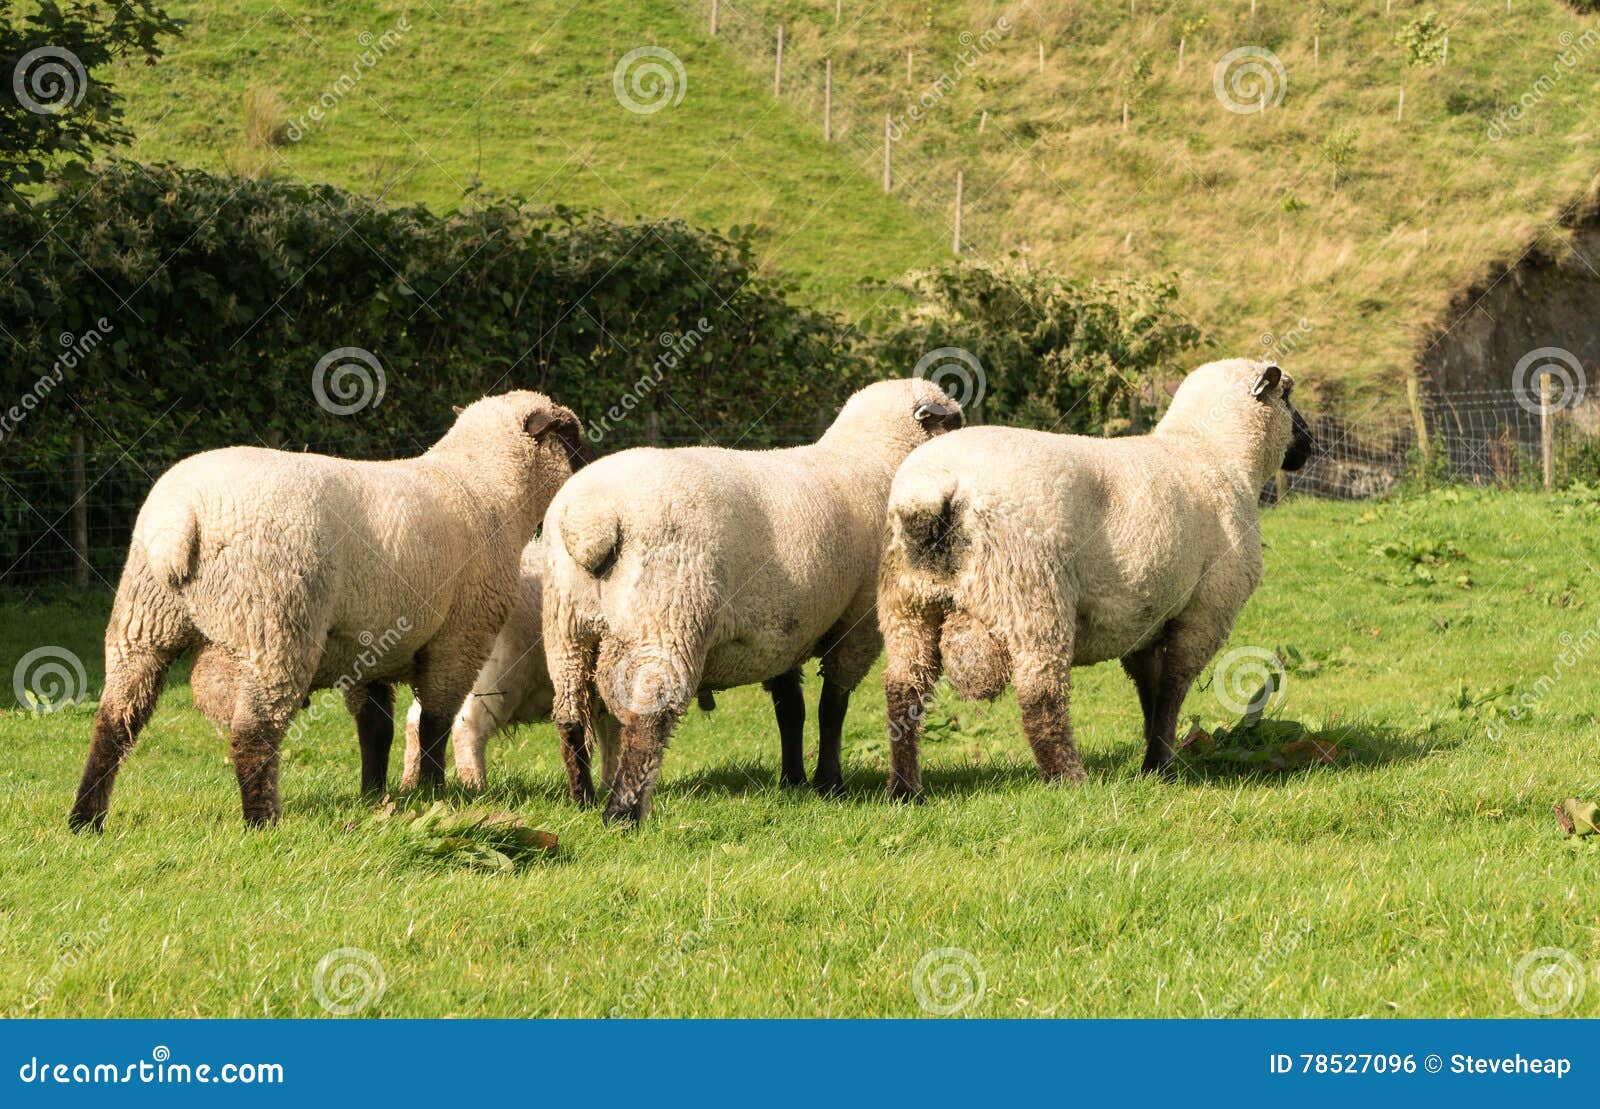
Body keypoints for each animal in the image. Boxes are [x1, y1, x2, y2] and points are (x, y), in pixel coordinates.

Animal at [68, 391, 587, 830]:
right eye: (570, 435)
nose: (590, 467)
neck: (484, 486)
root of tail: (181, 518)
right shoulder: (459, 639)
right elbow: (435, 725)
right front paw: (434, 791)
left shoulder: (372, 642)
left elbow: (376, 727)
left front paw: (375, 795)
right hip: (277, 628)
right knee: (251, 733)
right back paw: (261, 821)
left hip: (143, 623)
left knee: (114, 722)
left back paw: (86, 819)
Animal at [543, 377, 963, 825]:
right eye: (954, 422)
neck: (874, 455)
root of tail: (591, 520)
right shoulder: (857, 624)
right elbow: (832, 707)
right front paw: (829, 783)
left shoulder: (782, 629)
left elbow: (790, 708)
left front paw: (794, 781)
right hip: (667, 617)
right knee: (647, 721)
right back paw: (622, 813)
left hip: (566, 629)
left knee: (569, 714)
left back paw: (583, 800)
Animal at [876, 359, 1314, 799]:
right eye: (1288, 395)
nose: (1309, 445)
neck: (1216, 453)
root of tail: (934, 490)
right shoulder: (1205, 613)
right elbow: (1172, 691)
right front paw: (1161, 764)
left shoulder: (1147, 619)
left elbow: (1151, 692)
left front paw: (1154, 768)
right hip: (1032, 598)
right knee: (1040, 699)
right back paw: (1069, 781)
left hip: (907, 604)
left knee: (903, 692)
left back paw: (906, 789)